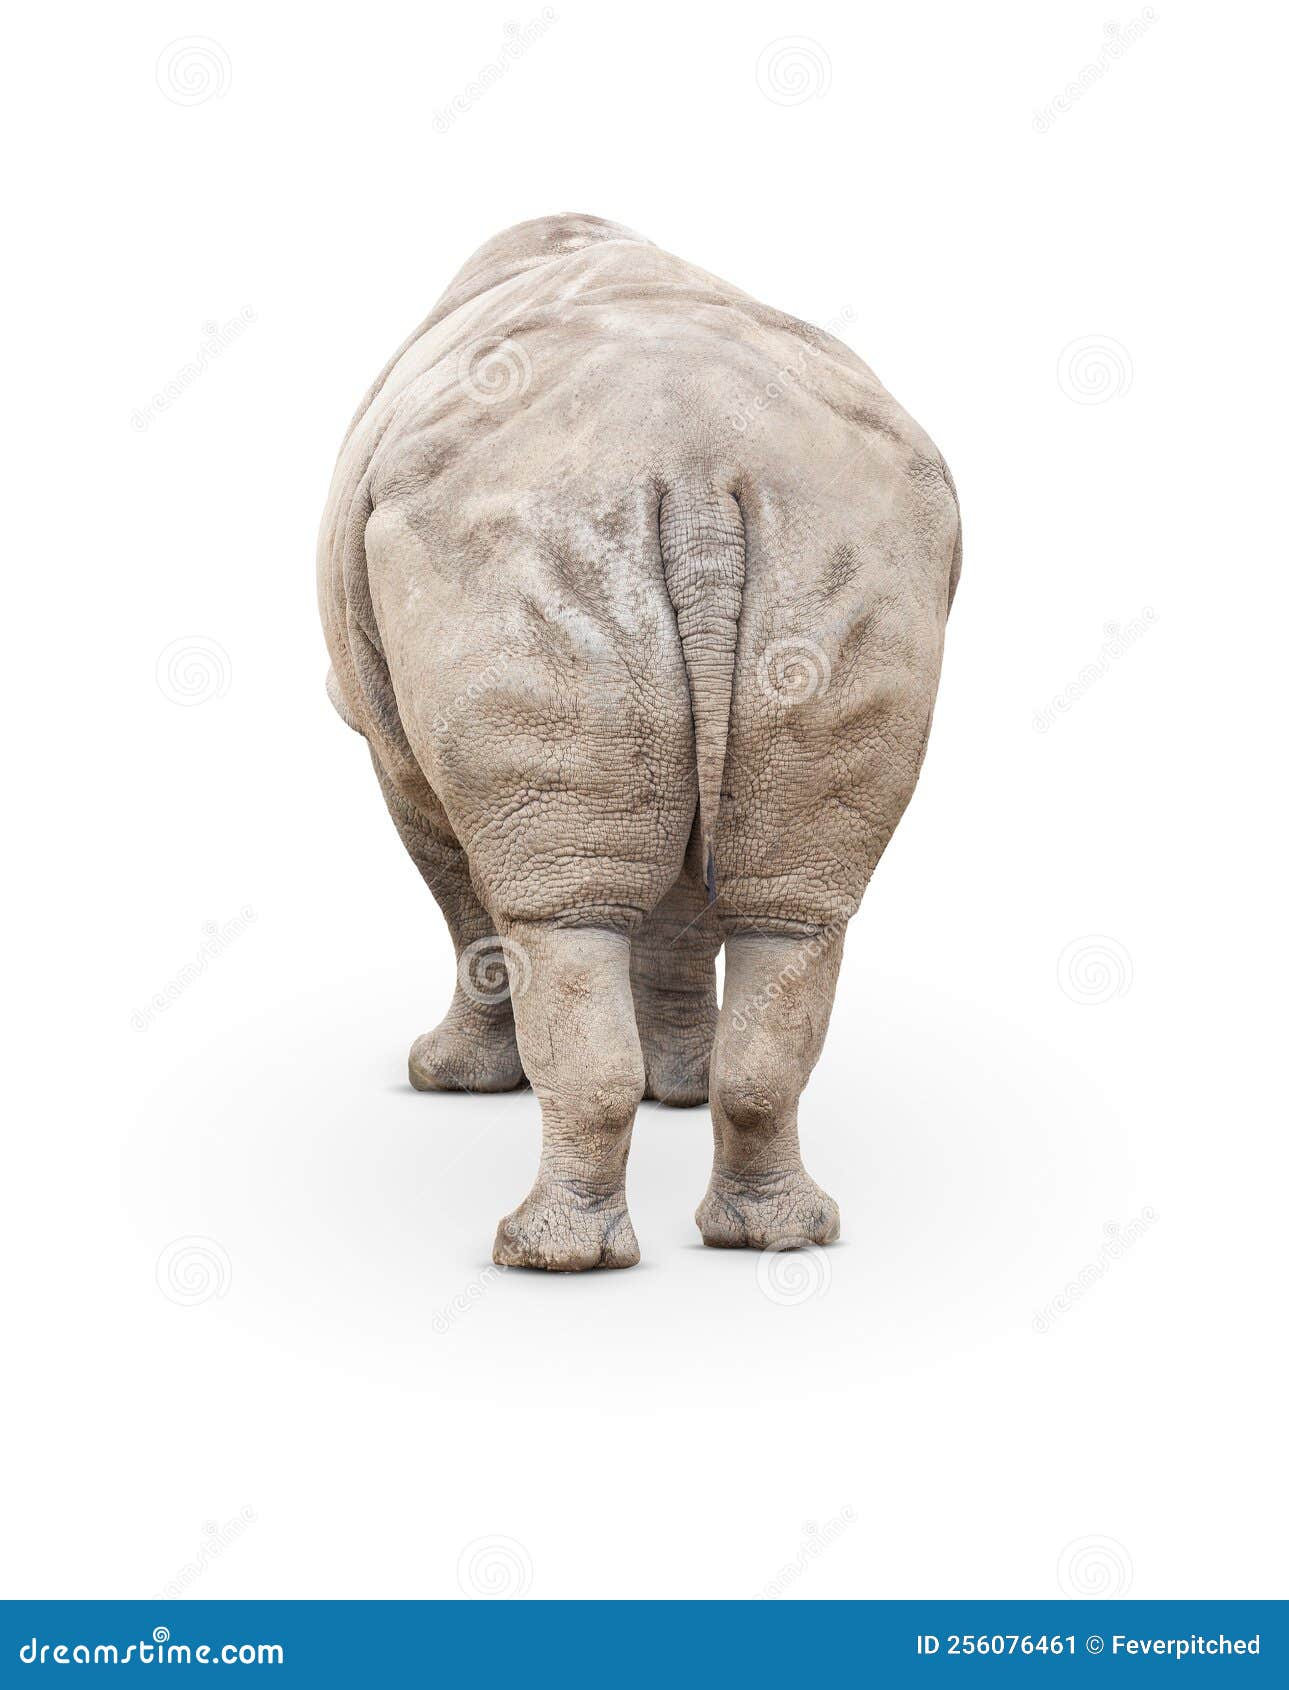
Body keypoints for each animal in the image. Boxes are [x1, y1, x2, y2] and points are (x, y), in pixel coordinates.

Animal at [318, 213, 961, 1271]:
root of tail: (697, 465)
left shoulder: (392, 742)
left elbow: (464, 901)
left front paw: (447, 1079)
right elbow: (686, 903)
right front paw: (681, 1087)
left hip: (526, 540)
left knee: (557, 911)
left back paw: (541, 1258)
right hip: (844, 538)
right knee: (791, 912)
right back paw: (779, 1239)